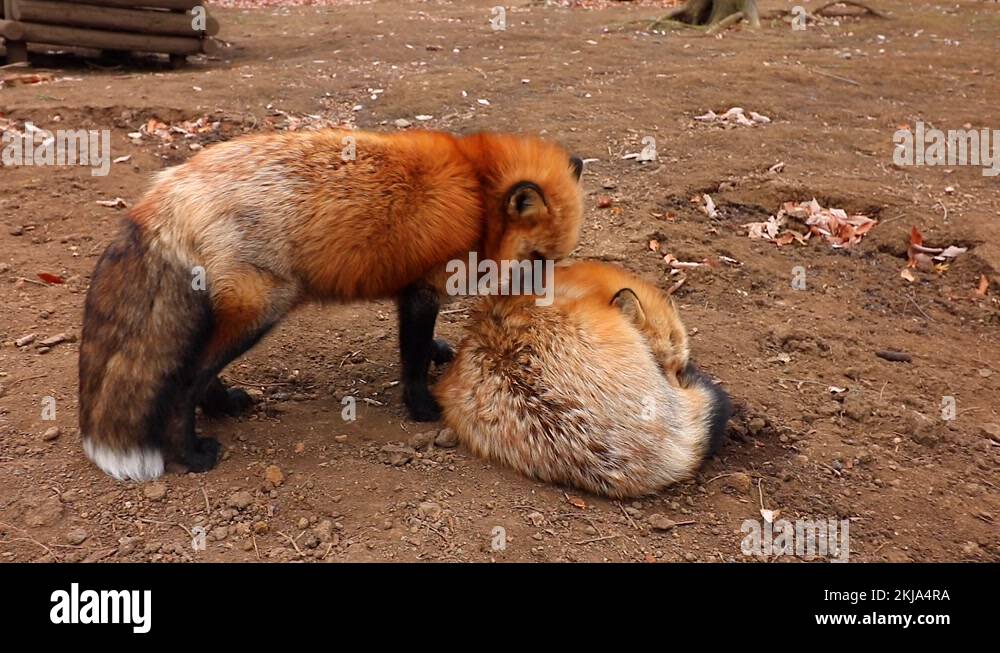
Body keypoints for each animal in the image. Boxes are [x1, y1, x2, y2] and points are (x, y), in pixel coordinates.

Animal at [79, 129, 584, 481]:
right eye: (537, 259)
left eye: (555, 261)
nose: (538, 303)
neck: (479, 195)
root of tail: (167, 189)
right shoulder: (424, 289)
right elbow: (413, 360)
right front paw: (422, 408)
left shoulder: (410, 288)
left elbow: (422, 348)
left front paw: (439, 354)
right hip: (263, 308)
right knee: (186, 378)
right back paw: (192, 452)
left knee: (199, 374)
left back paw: (224, 407)